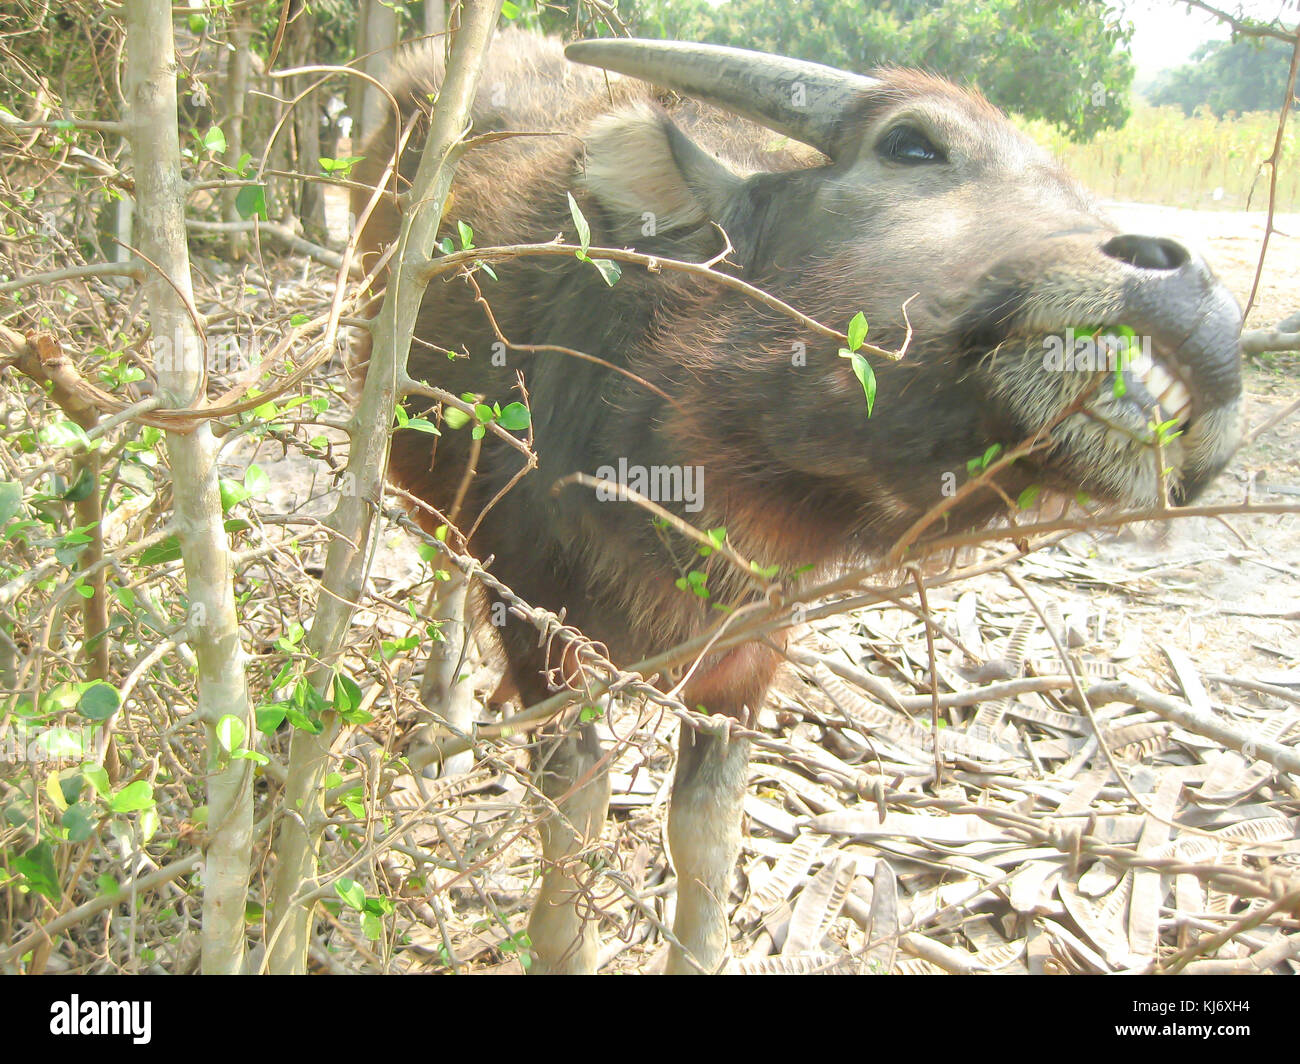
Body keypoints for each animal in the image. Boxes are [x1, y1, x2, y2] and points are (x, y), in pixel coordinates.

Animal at [351, 31, 1243, 973]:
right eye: (912, 144)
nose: (1198, 290)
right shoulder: (536, 616)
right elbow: (577, 810)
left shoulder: (750, 646)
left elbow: (706, 832)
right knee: (446, 569)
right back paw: (440, 718)